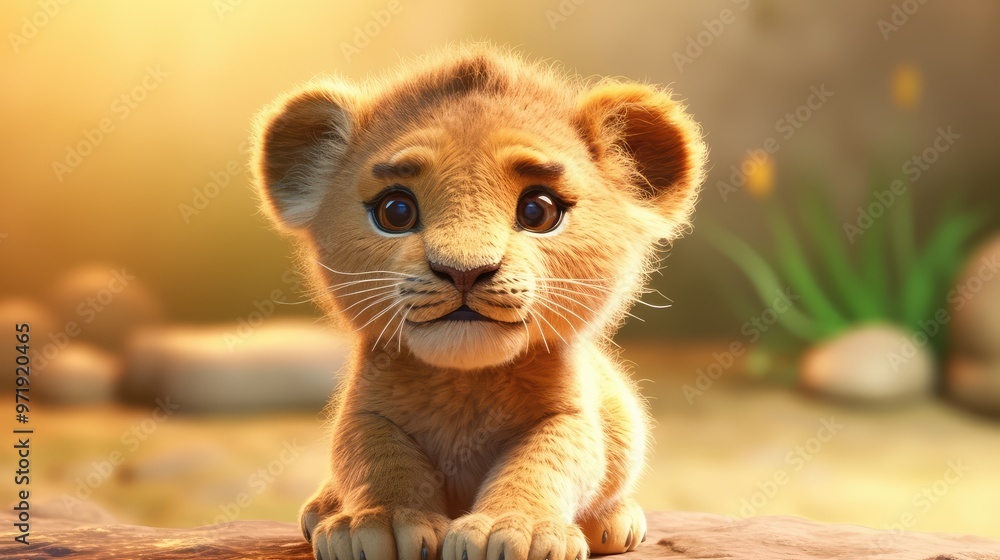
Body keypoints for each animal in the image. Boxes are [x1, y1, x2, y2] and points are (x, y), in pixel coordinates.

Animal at [251, 44, 705, 560]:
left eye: (538, 210)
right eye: (395, 211)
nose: (463, 271)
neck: (464, 384)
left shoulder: (568, 414)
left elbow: (547, 459)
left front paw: (514, 529)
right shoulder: (367, 409)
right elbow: (375, 456)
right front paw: (378, 522)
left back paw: (613, 522)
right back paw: (322, 508)